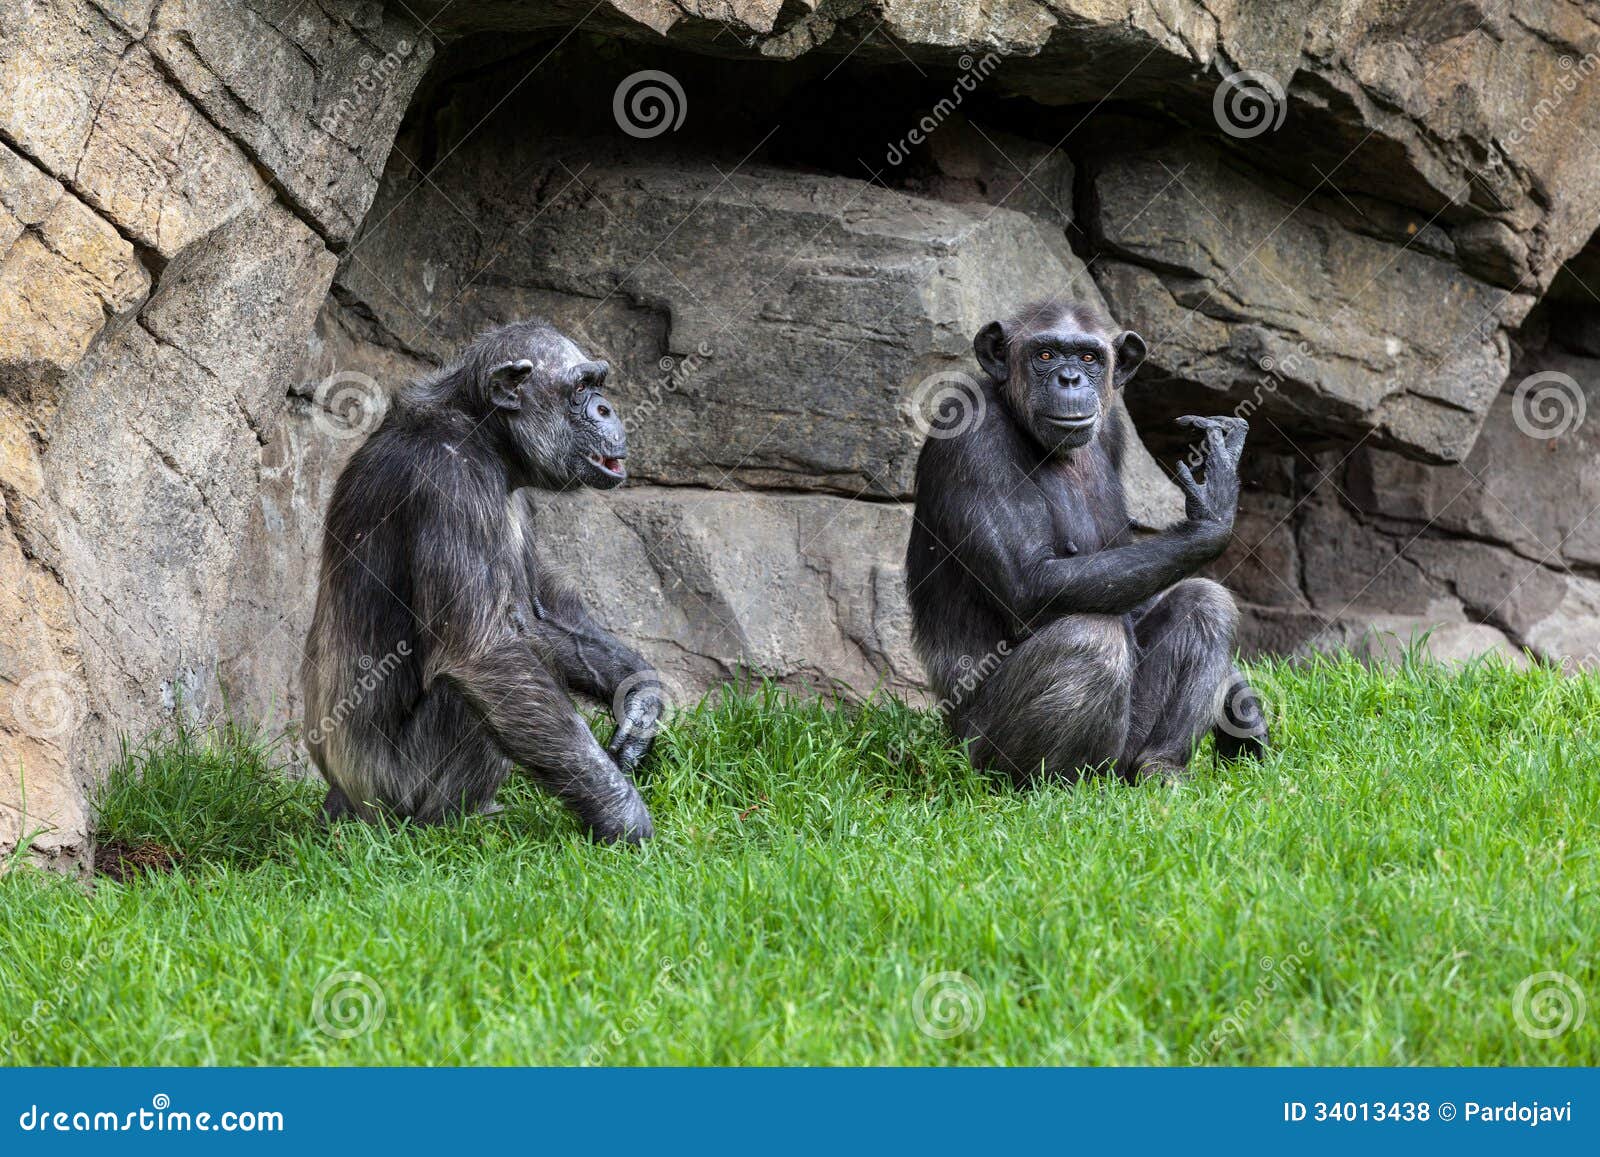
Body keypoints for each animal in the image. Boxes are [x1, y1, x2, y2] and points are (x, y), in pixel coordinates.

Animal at [301, 320, 663, 842]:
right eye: (579, 389)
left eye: (598, 384)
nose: (605, 407)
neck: (487, 439)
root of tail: (341, 801)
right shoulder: (447, 486)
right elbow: (483, 650)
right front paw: (622, 813)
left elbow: (537, 614)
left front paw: (639, 697)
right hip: (391, 794)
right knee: (475, 689)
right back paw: (454, 831)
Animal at [905, 299, 1269, 786]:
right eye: (1044, 355)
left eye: (1089, 357)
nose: (1070, 378)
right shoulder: (972, 442)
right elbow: (1028, 581)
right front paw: (1213, 512)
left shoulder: (1113, 430)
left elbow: (1140, 600)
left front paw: (1240, 704)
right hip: (974, 752)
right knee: (1091, 639)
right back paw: (1049, 786)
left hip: (1128, 744)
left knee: (1206, 604)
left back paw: (1162, 766)